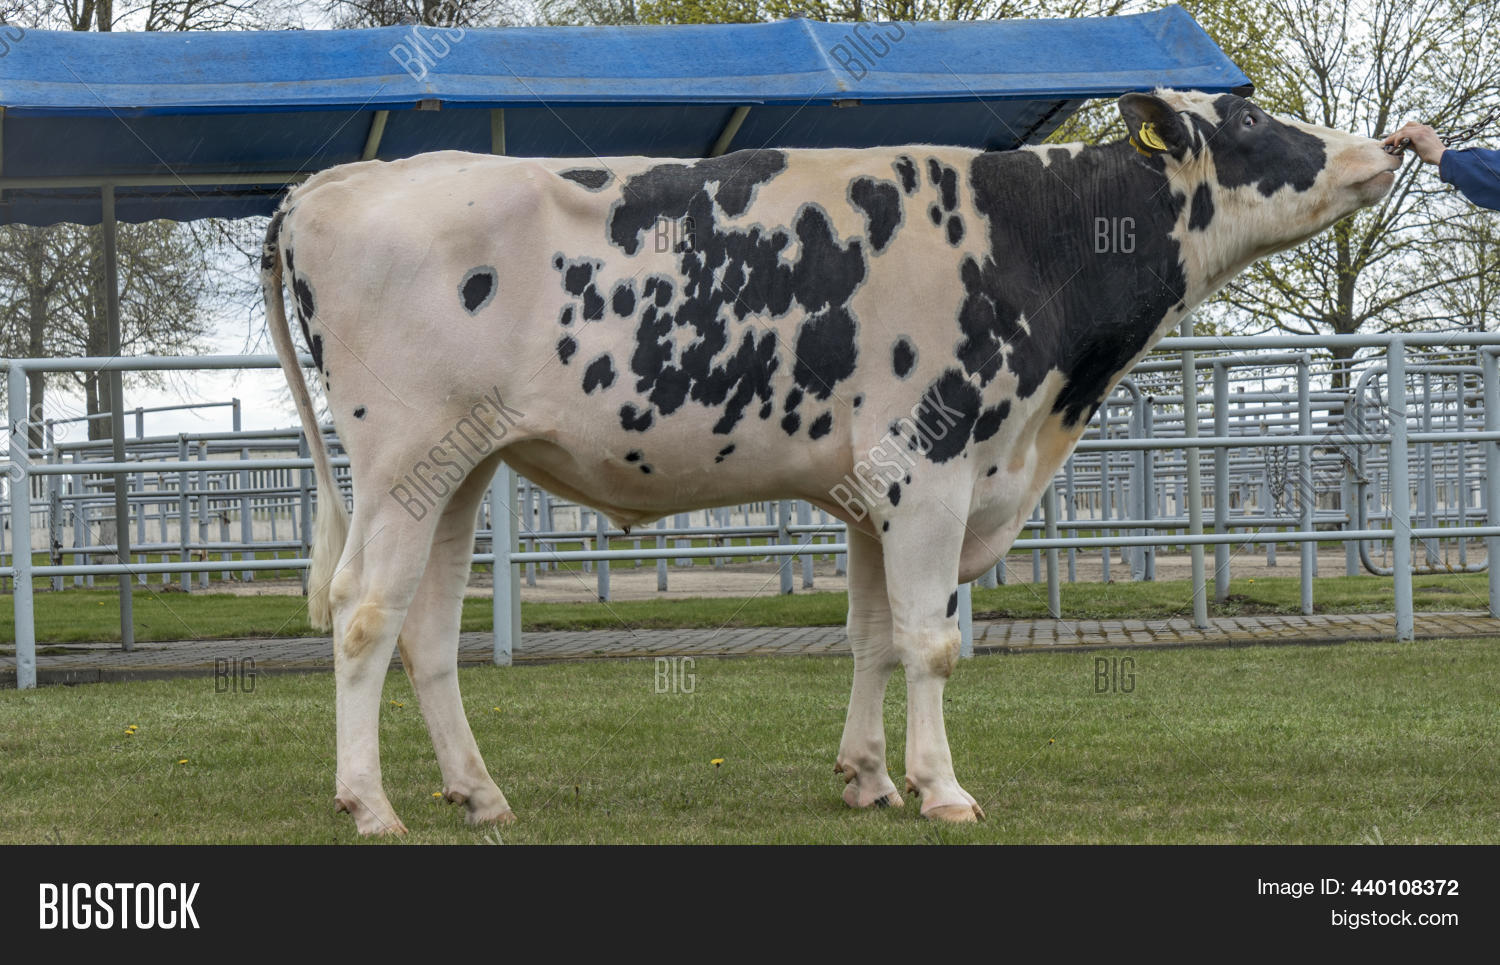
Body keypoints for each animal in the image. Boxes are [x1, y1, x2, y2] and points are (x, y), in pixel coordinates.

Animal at [263, 89, 1400, 834]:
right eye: (1251, 126)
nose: (1386, 148)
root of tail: (335, 182)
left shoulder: (871, 491)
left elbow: (871, 639)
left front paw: (869, 777)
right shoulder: (930, 467)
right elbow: (930, 641)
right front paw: (943, 789)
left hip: (459, 466)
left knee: (426, 629)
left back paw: (479, 792)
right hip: (401, 452)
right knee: (363, 610)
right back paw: (370, 803)